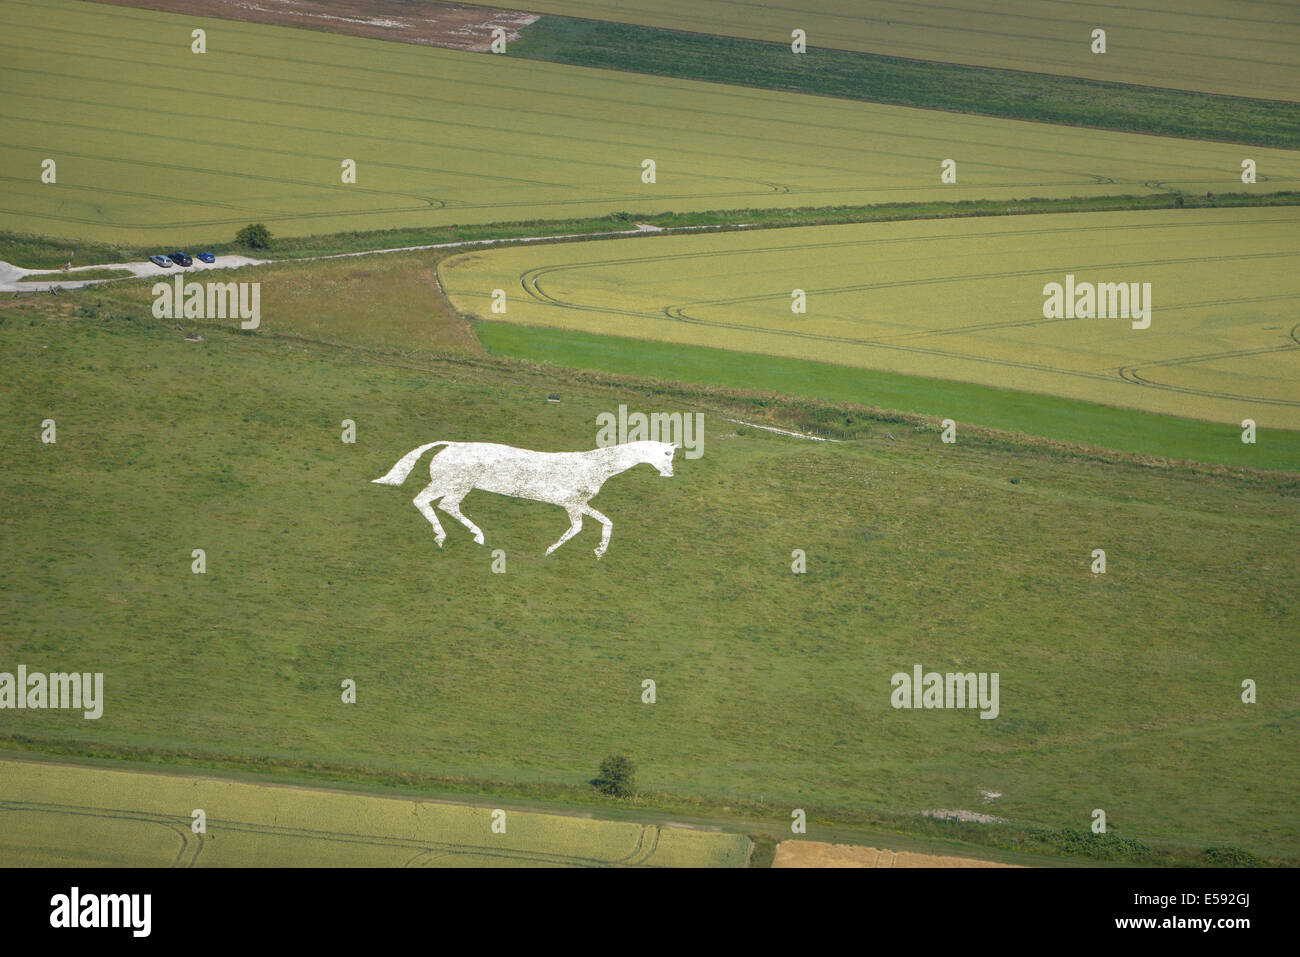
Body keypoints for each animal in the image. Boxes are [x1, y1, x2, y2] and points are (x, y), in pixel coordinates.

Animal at [372, 440, 676, 558]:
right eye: (667, 454)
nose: (670, 473)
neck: (595, 467)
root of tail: (450, 445)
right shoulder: (573, 504)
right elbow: (578, 527)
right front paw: (550, 550)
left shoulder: (577, 505)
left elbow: (606, 522)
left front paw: (599, 552)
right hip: (449, 483)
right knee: (424, 501)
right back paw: (443, 537)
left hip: (458, 487)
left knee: (446, 505)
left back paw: (475, 536)